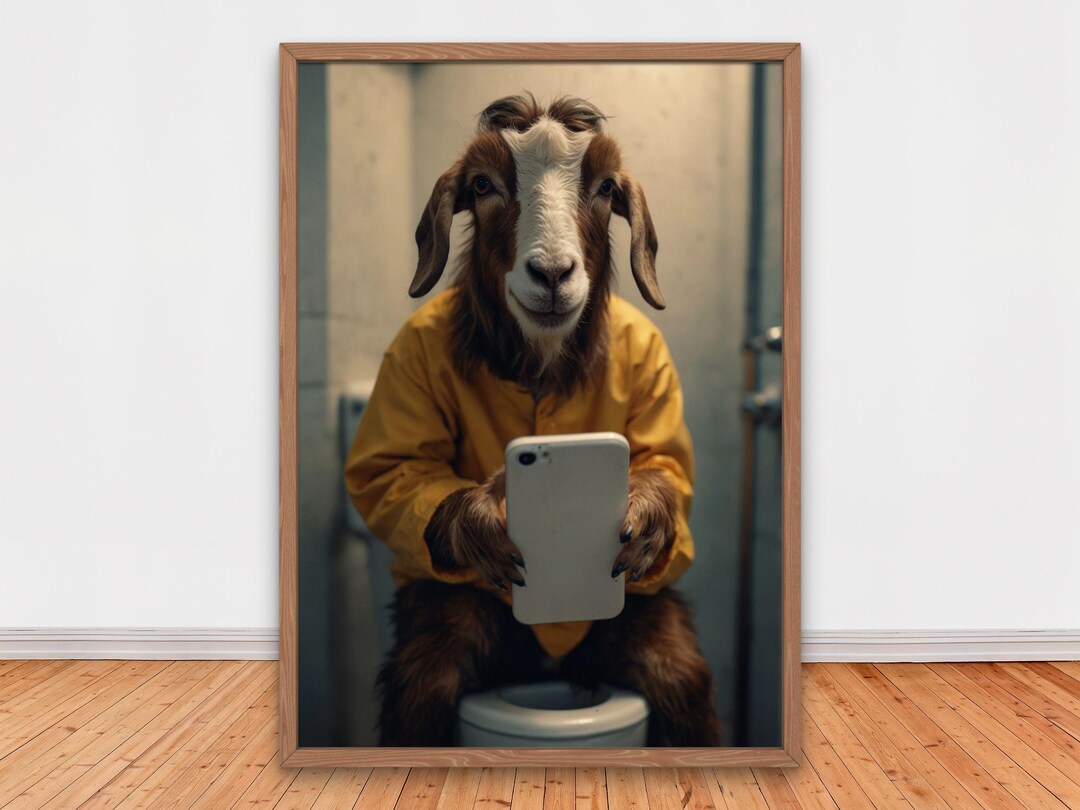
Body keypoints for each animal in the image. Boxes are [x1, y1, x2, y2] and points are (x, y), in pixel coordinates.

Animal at [345, 94, 720, 746]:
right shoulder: (409, 354)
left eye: (605, 187)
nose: (551, 274)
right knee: (427, 677)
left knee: (676, 676)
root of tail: (549, 665)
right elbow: (394, 471)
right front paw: (479, 521)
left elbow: (666, 461)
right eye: (483, 184)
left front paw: (648, 516)